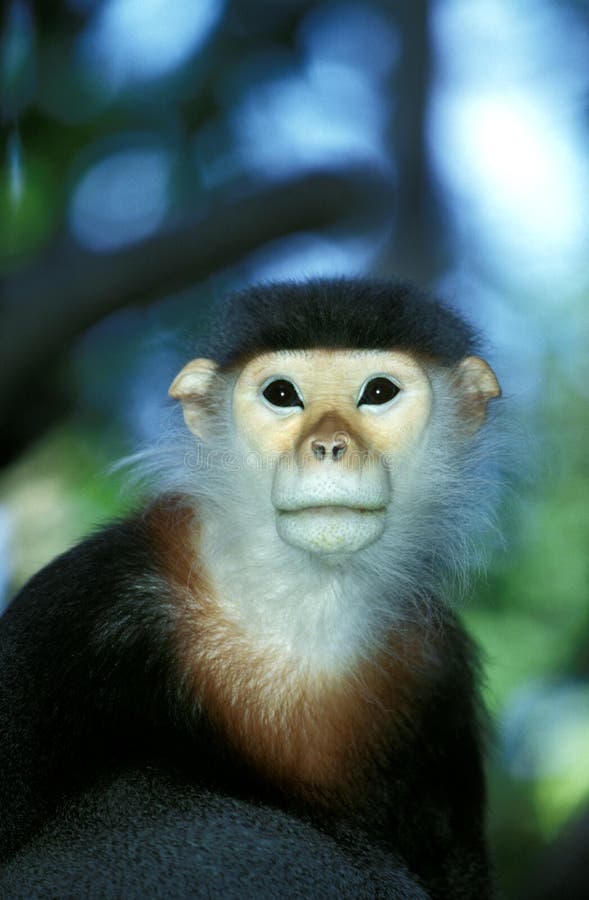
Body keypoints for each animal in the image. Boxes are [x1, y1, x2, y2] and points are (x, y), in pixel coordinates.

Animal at [0, 278, 502, 898]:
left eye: (379, 392)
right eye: (282, 394)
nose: (329, 447)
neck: (301, 604)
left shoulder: (435, 668)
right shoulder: (91, 597)